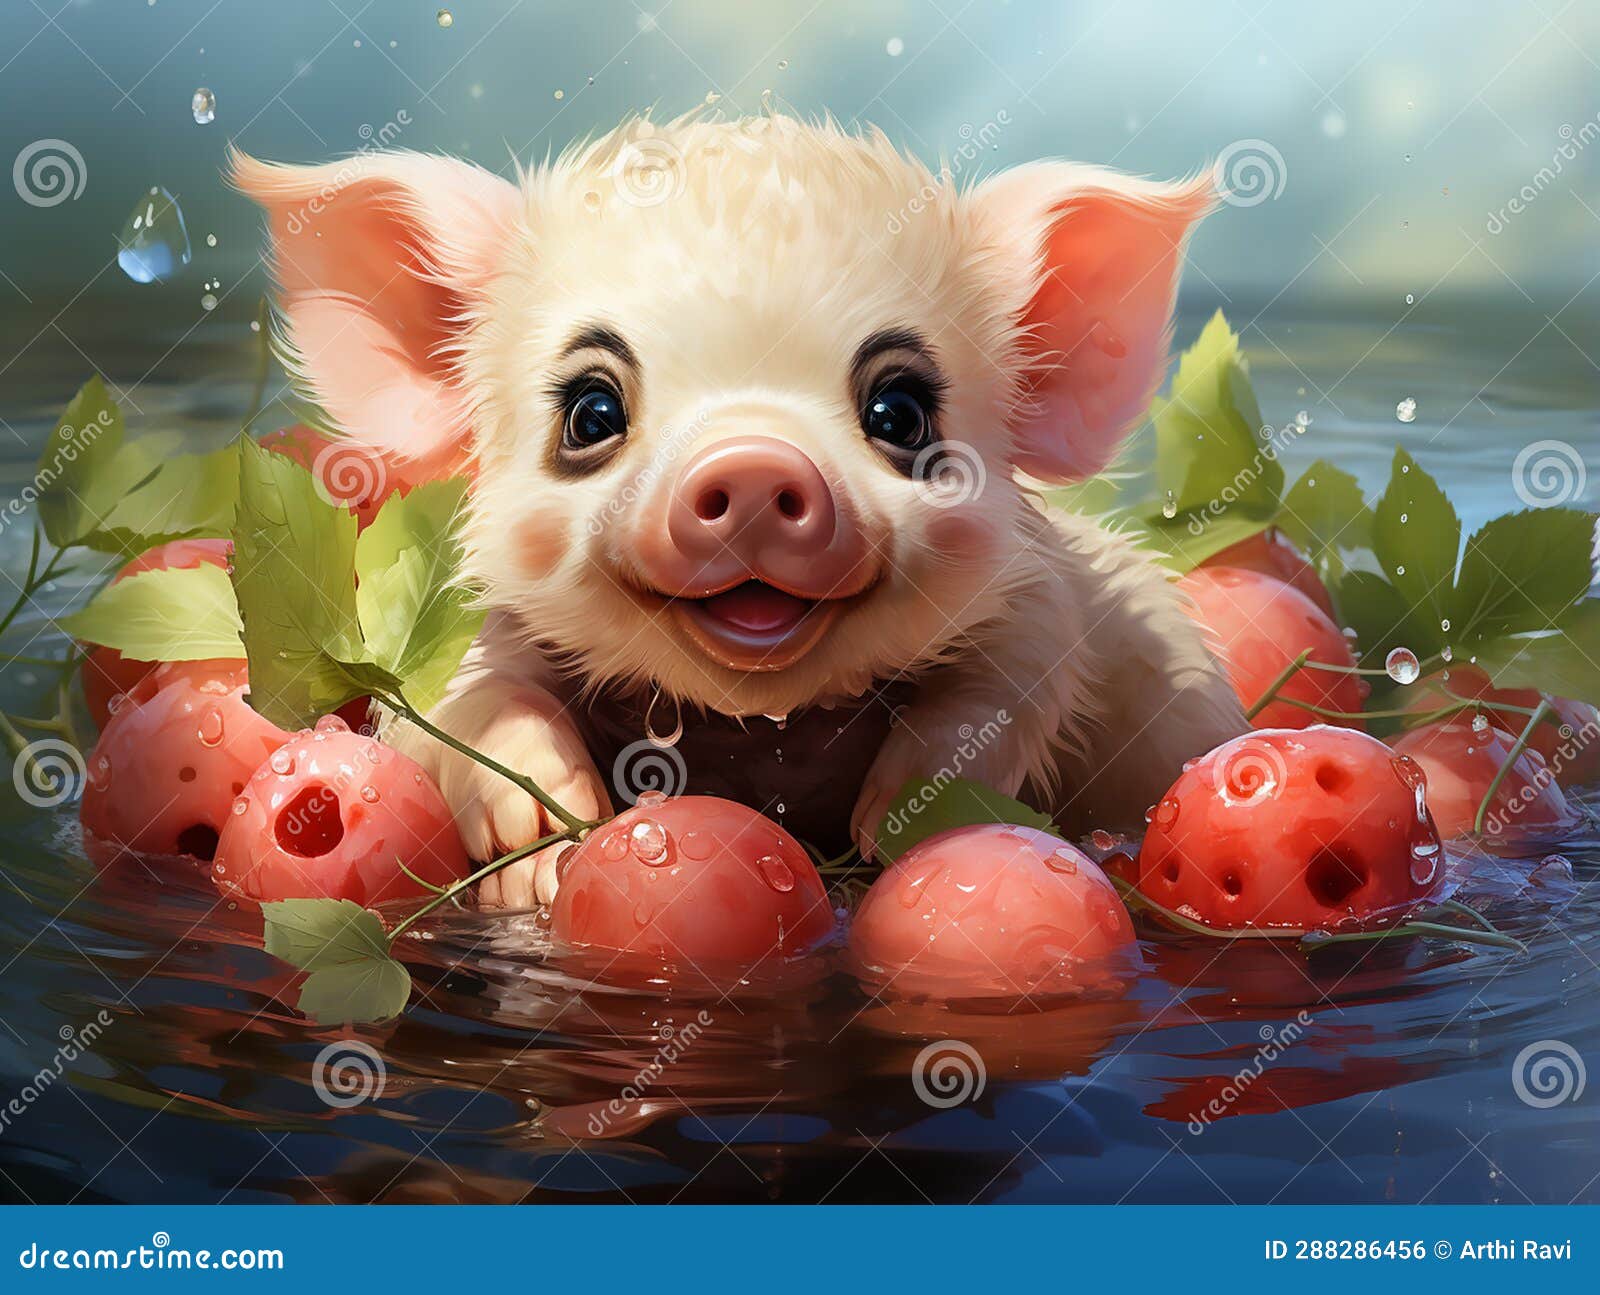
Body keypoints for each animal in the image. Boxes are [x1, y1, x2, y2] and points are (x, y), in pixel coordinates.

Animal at [232, 113, 1245, 908]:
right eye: (592, 412)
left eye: (899, 413)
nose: (754, 461)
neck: (758, 731)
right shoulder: (465, 623)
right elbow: (465, 695)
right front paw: (543, 852)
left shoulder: (1041, 604)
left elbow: (1006, 686)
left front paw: (889, 823)